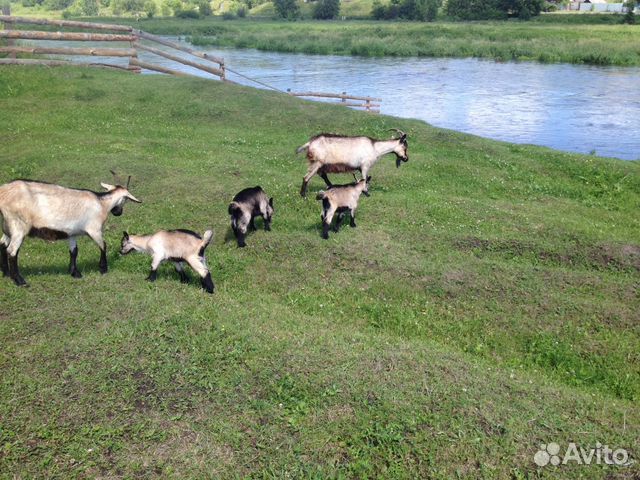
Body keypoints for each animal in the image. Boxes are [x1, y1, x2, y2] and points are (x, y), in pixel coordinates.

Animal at [0, 178, 141, 286]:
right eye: (125, 200)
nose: (118, 212)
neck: (102, 203)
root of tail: (3, 192)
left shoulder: (72, 233)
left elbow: (74, 251)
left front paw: (74, 272)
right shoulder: (95, 229)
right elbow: (103, 245)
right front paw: (103, 268)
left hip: (7, 226)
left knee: (3, 245)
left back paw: (6, 273)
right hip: (18, 226)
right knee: (12, 251)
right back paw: (19, 281)